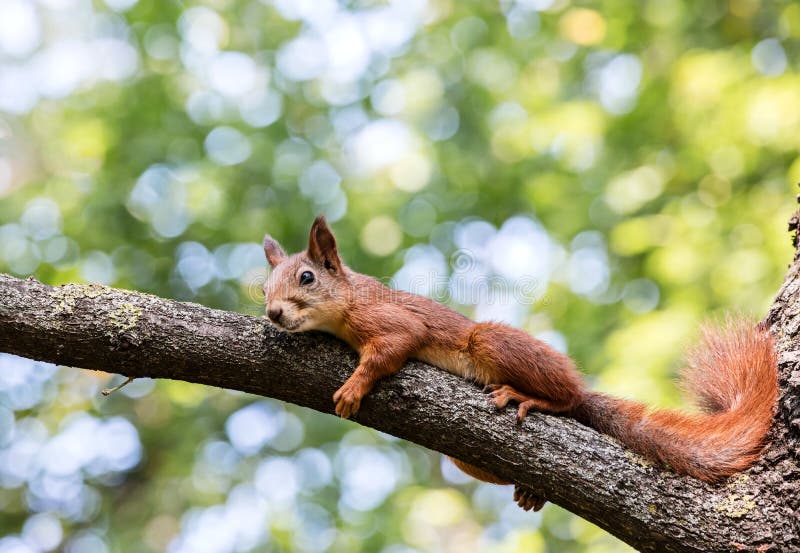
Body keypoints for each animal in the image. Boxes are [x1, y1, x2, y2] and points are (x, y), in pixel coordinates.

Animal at [262, 215, 778, 511]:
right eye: (264, 287)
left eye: (306, 278)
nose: (272, 314)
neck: (345, 307)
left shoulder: (392, 322)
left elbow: (391, 350)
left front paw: (353, 387)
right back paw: (532, 490)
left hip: (492, 343)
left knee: (567, 399)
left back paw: (534, 399)